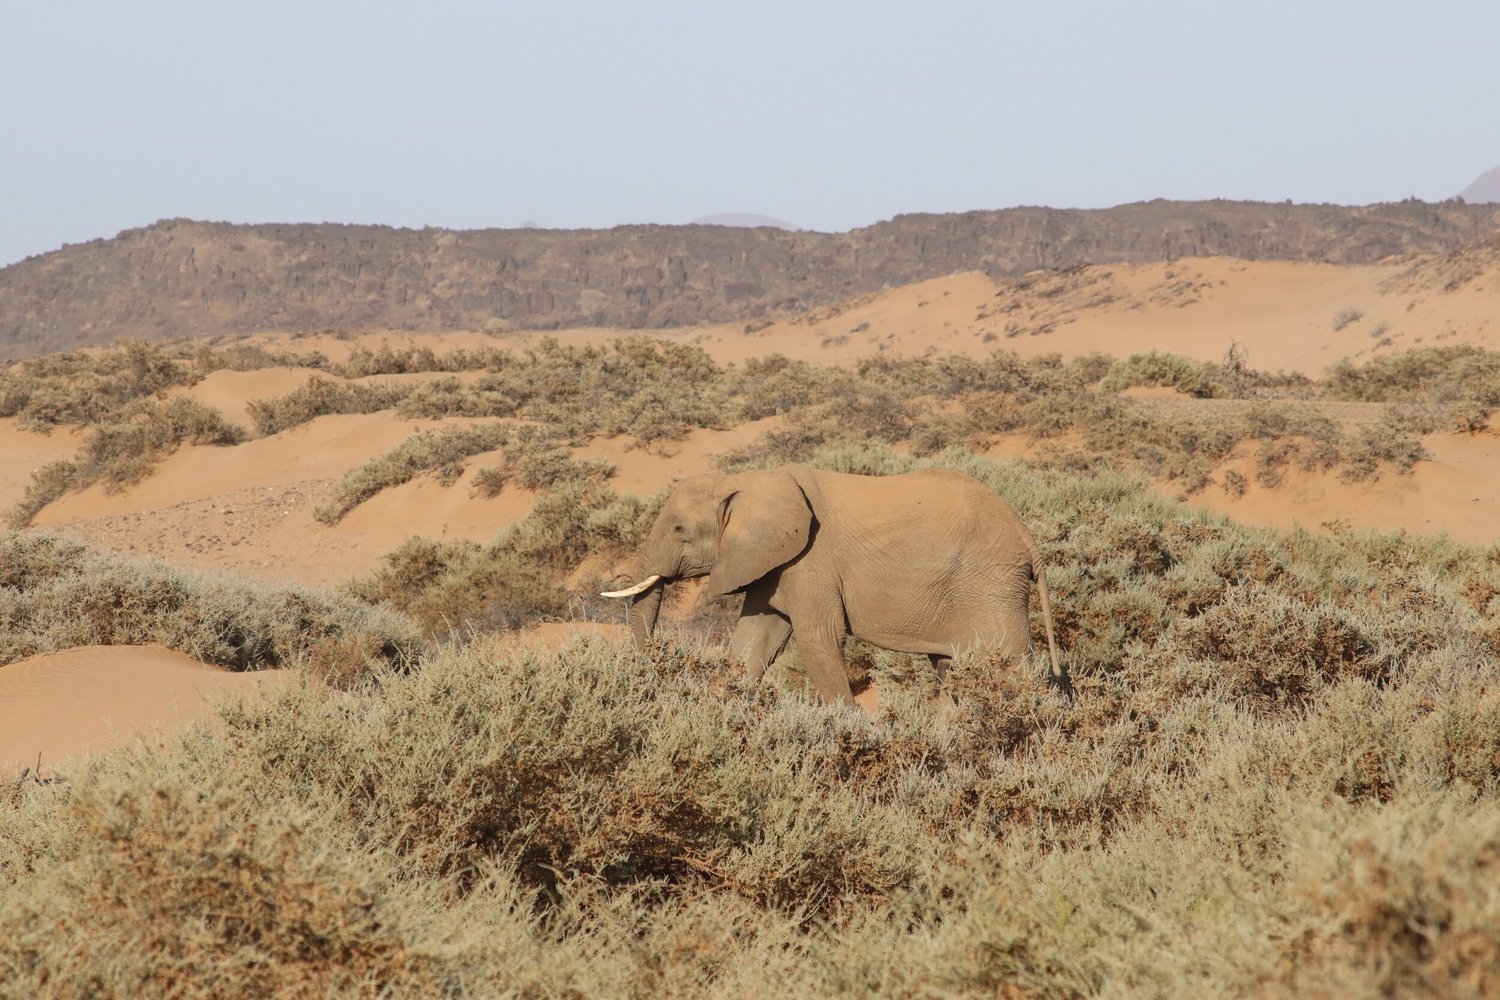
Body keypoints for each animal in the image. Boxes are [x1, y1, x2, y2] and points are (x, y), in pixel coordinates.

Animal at [601, 463, 1066, 706]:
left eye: (679, 529)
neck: (747, 480)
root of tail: (1027, 536)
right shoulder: (775, 564)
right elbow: (756, 637)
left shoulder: (812, 561)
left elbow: (819, 637)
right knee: (953, 667)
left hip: (991, 584)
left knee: (1010, 662)